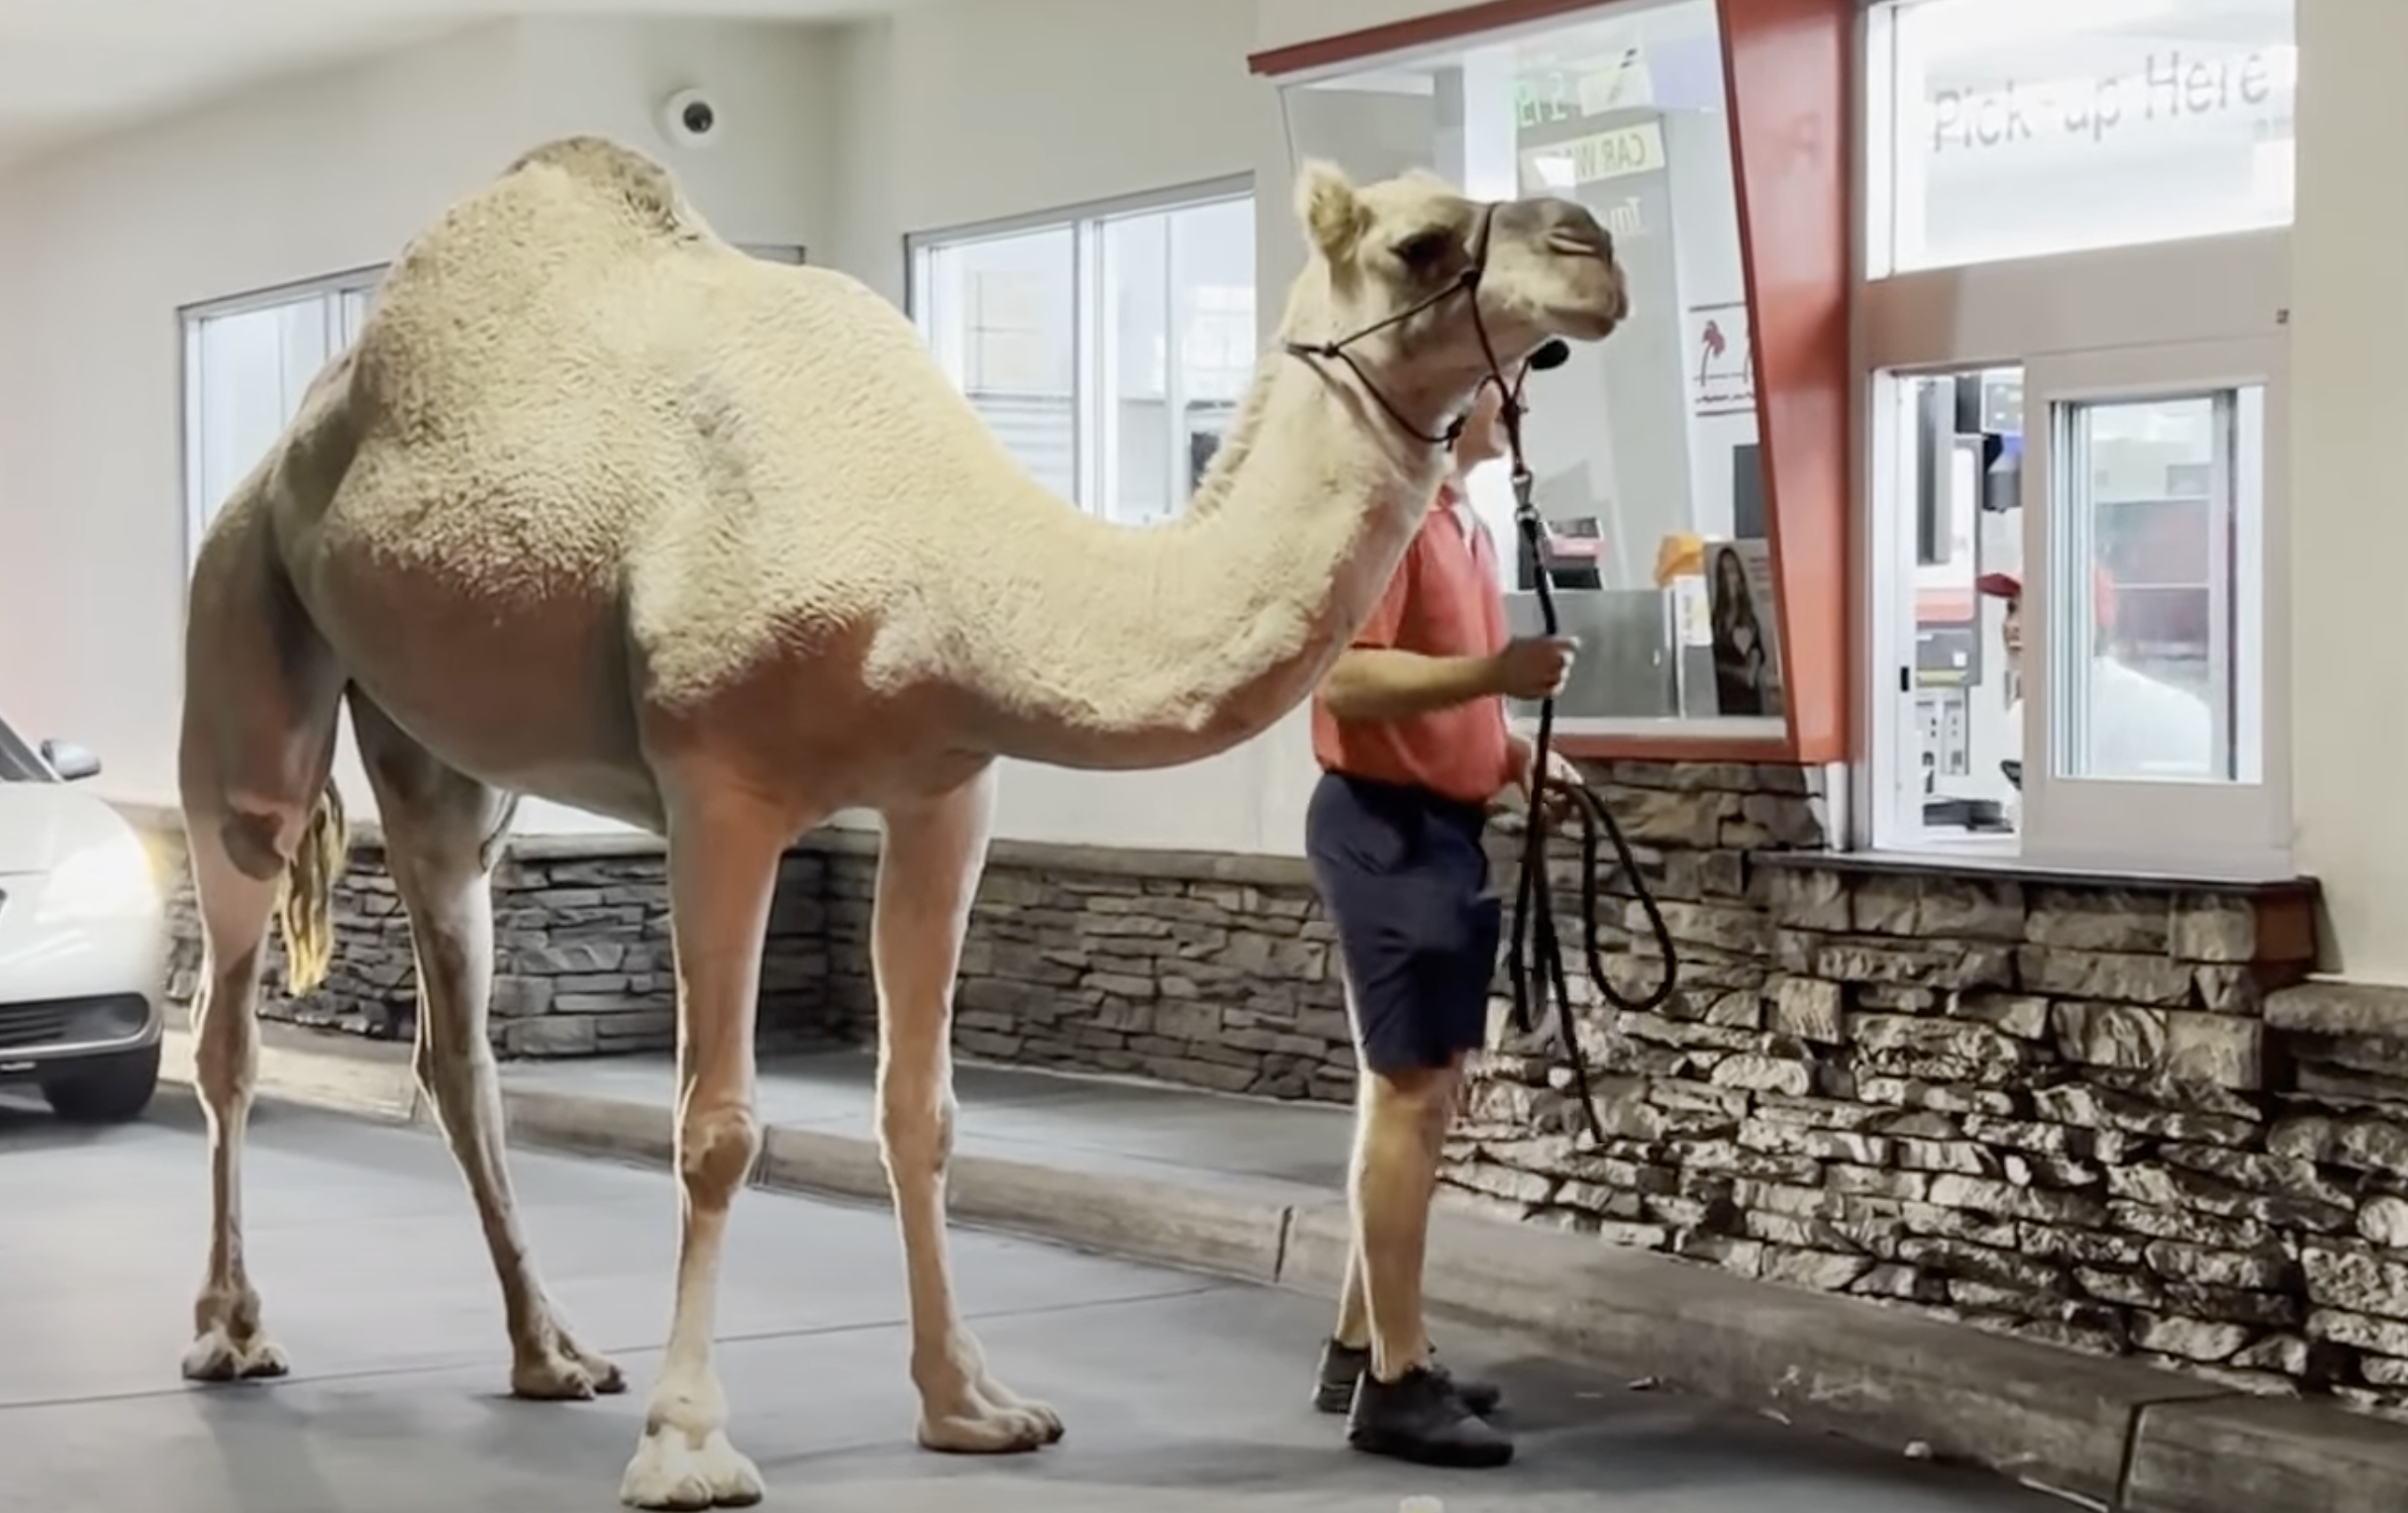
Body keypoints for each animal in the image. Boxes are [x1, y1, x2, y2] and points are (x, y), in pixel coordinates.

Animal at [173, 135, 1627, 1508]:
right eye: (1421, 242)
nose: (1595, 247)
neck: (951, 570)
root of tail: (301, 435)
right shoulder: (717, 785)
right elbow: (717, 1126)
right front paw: (689, 1446)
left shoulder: (946, 790)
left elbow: (920, 1109)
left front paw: (972, 1405)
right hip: (243, 616)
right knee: (230, 1002)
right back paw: (233, 1332)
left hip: (439, 754)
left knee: (457, 1036)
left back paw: (553, 1353)